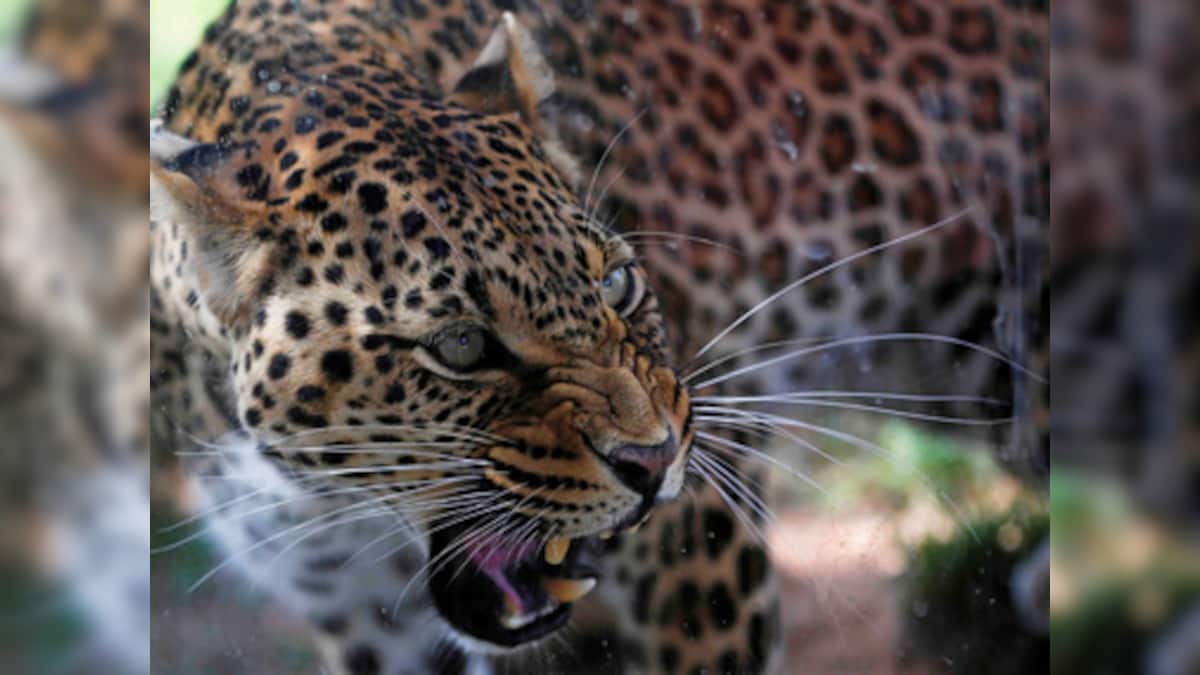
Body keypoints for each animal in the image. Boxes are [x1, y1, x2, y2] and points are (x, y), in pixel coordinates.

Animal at [150, 1, 1055, 673]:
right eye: (461, 346)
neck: (338, 507)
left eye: (614, 285)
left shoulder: (701, 547)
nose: (655, 462)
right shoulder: (363, 618)